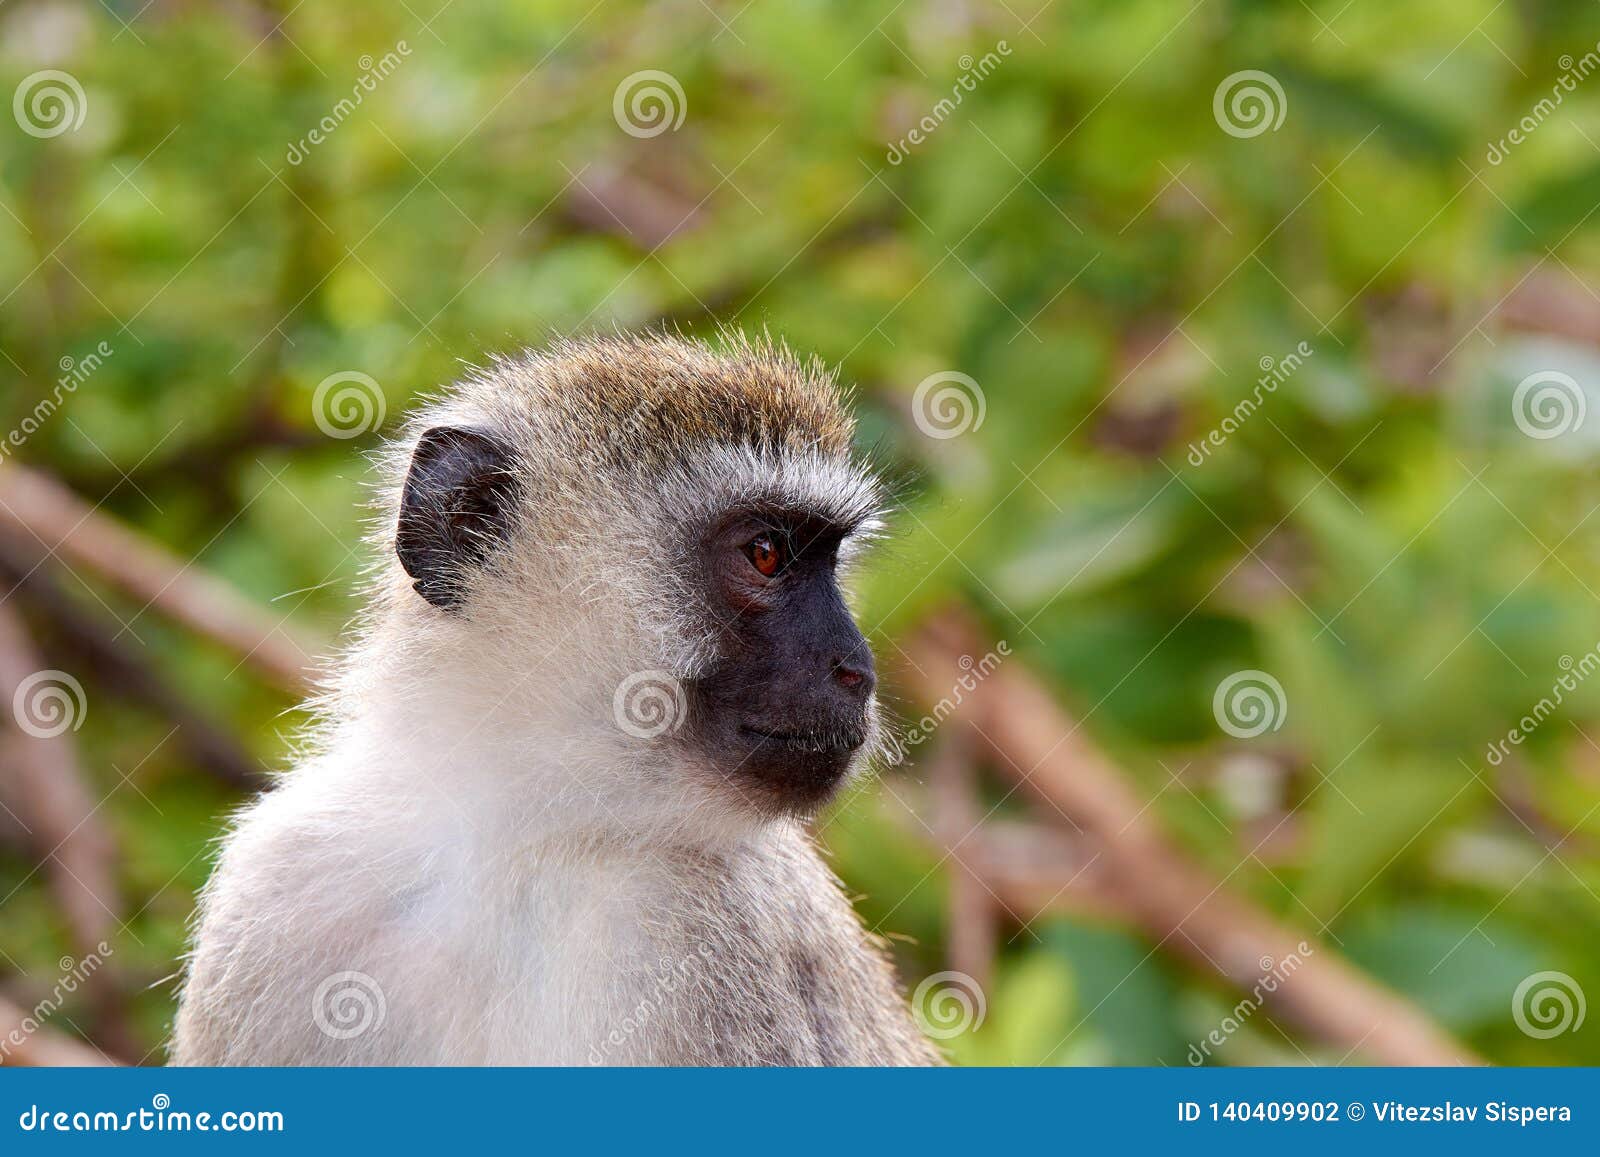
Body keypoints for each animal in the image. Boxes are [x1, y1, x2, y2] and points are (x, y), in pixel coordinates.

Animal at [170, 332, 943, 1065]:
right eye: (766, 554)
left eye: (829, 560)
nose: (857, 670)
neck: (515, 831)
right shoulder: (277, 888)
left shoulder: (693, 917)